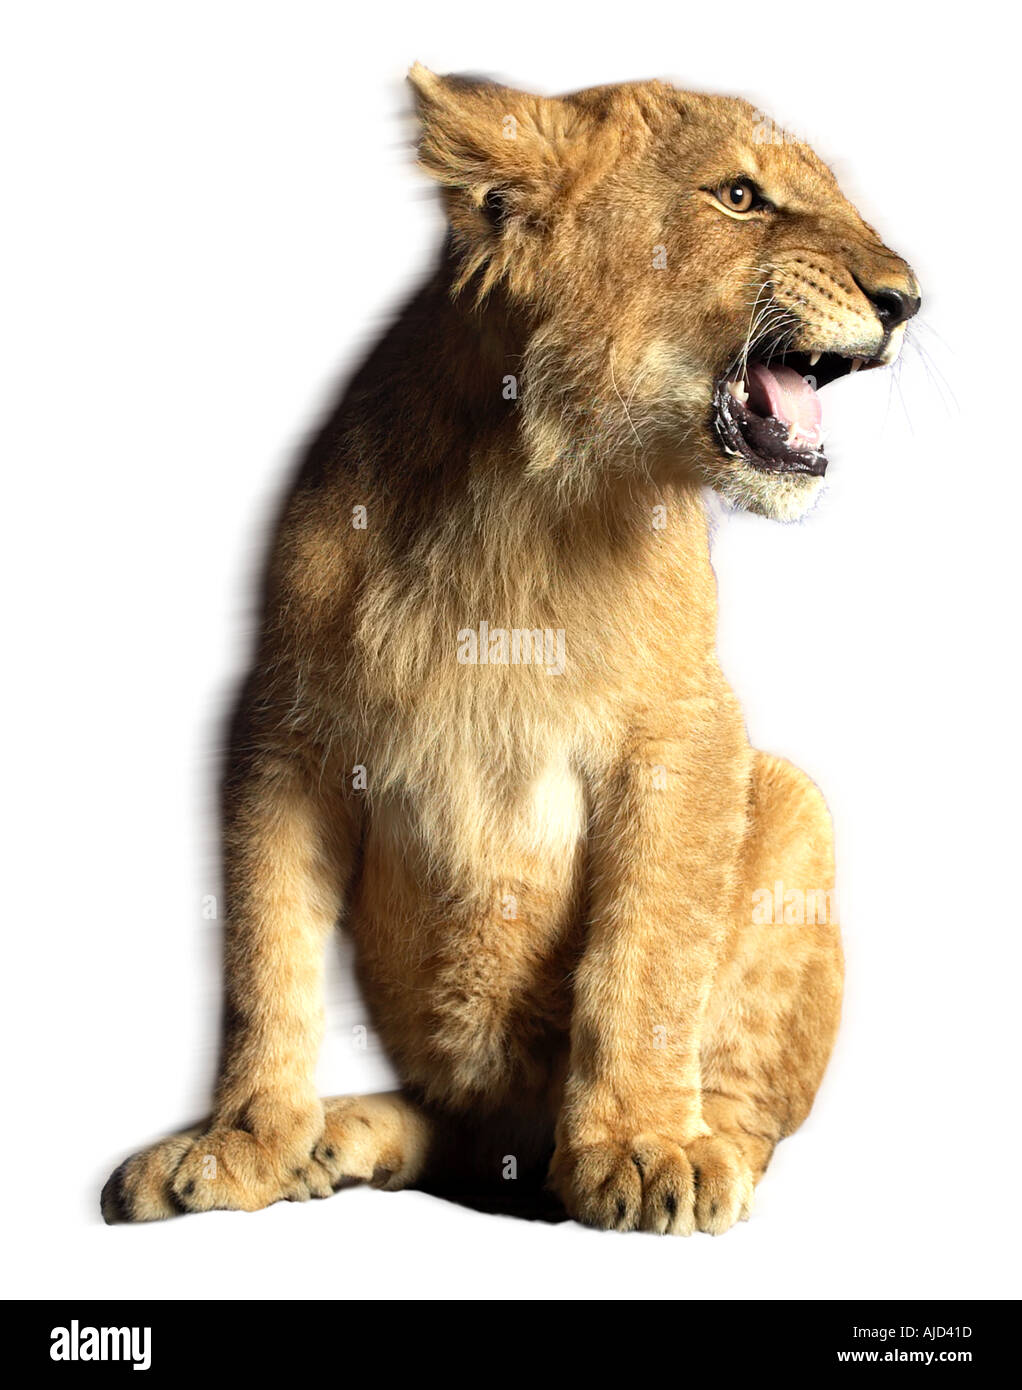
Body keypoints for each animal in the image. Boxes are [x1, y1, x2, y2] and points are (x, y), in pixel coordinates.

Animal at [102, 66, 919, 1234]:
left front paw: (638, 1148)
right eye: (739, 197)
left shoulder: (685, 731)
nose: (906, 298)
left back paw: (698, 1144)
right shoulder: (282, 734)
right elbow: (265, 958)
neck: (529, 494)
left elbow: (647, 954)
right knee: (455, 1124)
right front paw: (245, 1141)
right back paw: (340, 1138)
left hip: (794, 800)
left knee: (745, 1104)